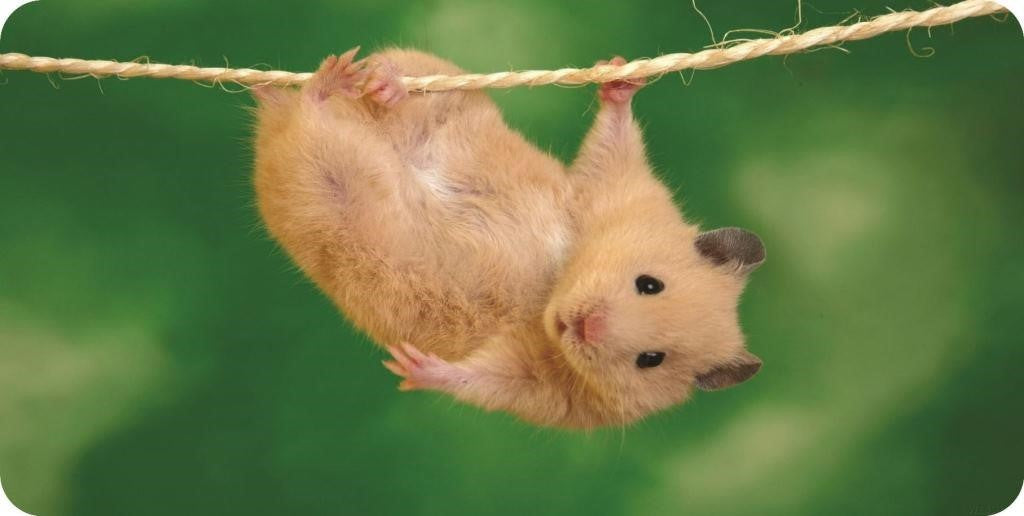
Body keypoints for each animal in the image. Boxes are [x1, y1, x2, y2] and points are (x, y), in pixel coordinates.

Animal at [251, 48, 765, 429]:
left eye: (650, 360)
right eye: (649, 283)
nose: (584, 327)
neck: (554, 288)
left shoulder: (543, 387)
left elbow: (482, 379)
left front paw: (409, 366)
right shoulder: (611, 190)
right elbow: (612, 143)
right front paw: (620, 76)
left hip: (321, 185)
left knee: (309, 122)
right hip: (445, 91)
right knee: (401, 79)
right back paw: (368, 81)